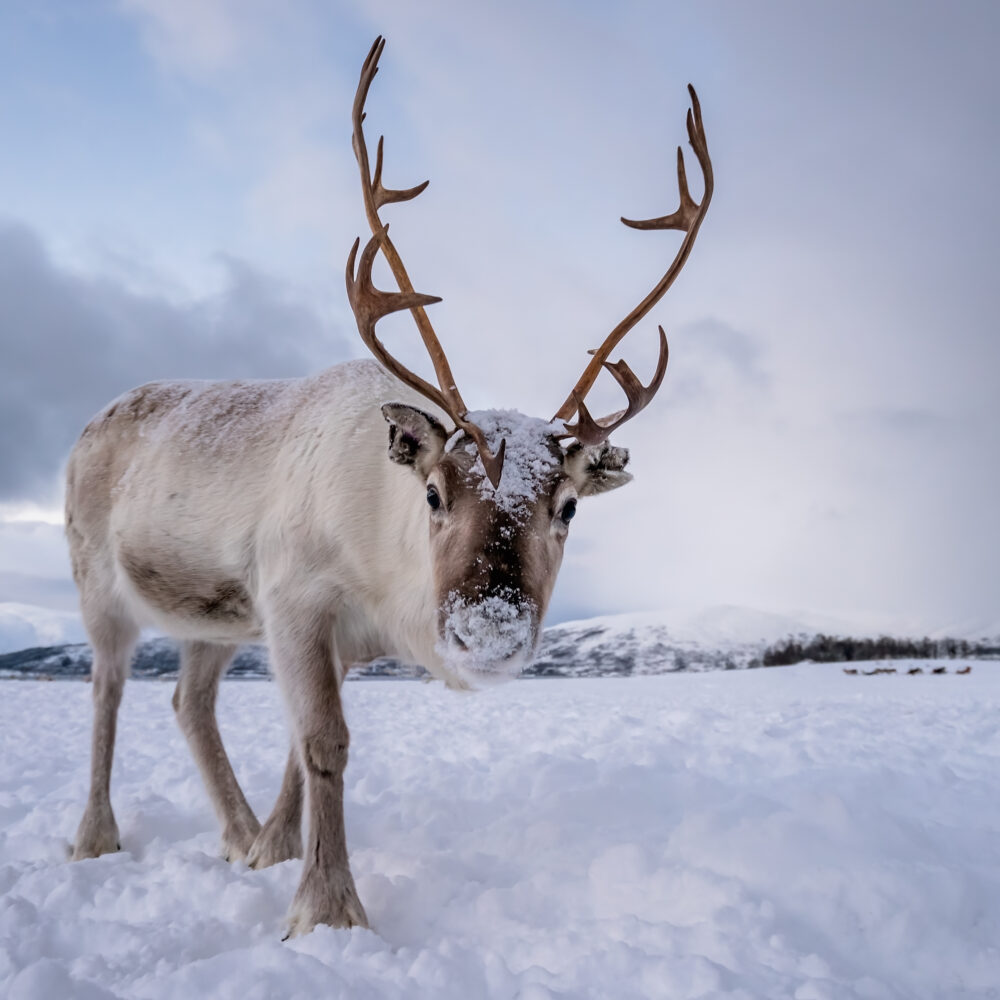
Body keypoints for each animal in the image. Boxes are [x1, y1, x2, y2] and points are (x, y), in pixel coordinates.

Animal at [65, 36, 713, 936]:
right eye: (434, 493)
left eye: (568, 506)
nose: (488, 631)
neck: (383, 574)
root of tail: (92, 422)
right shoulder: (296, 598)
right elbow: (324, 744)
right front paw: (327, 909)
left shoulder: (328, 635)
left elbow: (300, 748)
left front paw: (274, 852)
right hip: (99, 582)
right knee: (107, 692)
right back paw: (95, 837)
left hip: (213, 619)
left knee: (189, 703)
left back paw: (235, 834)